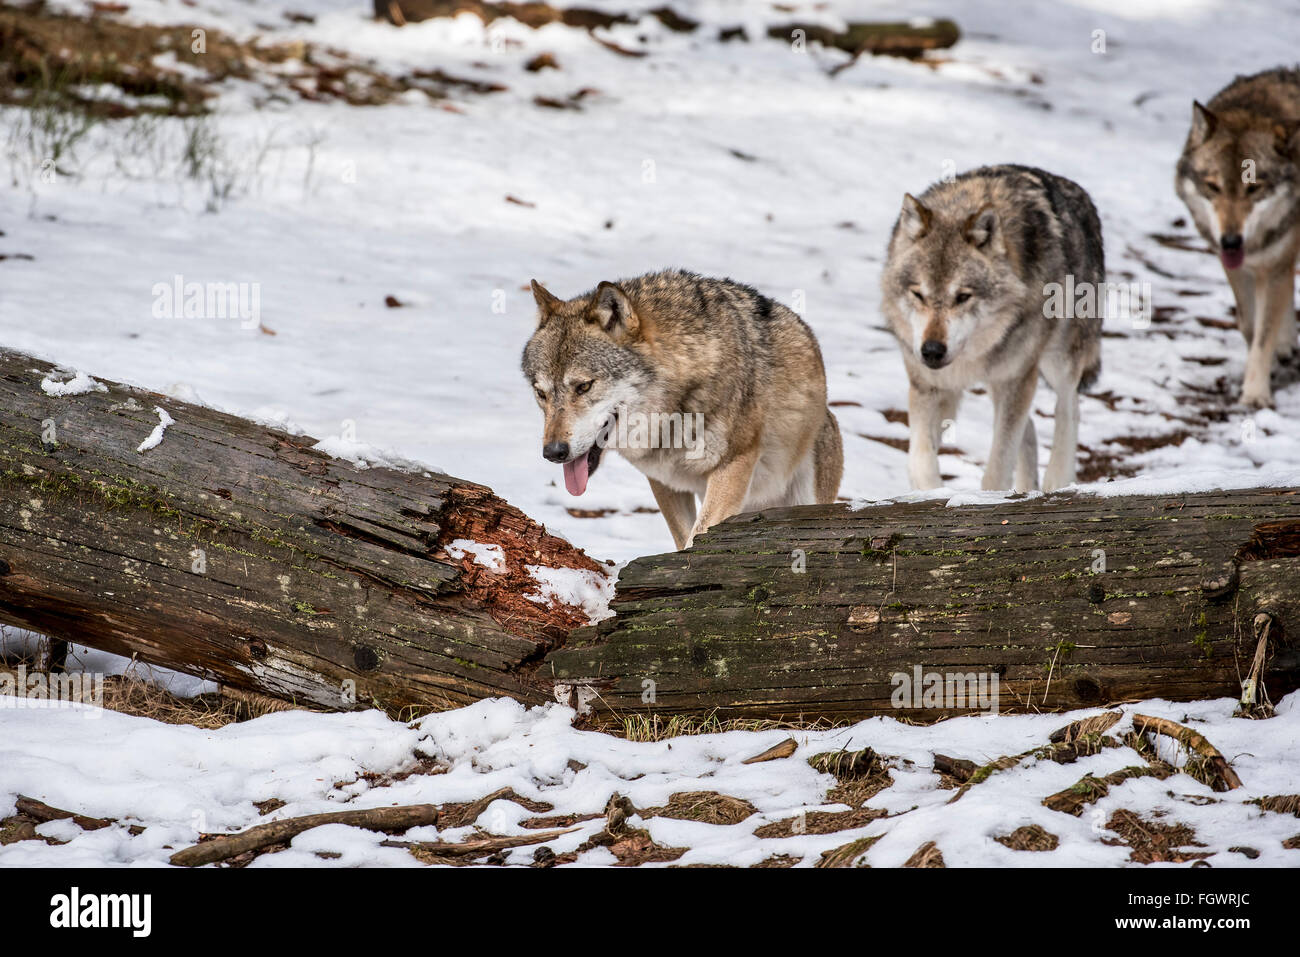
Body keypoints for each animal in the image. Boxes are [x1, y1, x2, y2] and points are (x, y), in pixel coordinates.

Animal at [521, 269, 843, 550]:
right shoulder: (665, 481)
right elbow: (683, 538)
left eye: (584, 386)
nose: (553, 452)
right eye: (541, 393)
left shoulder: (735, 463)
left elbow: (698, 536)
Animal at [881, 164, 1104, 493]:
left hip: (1056, 361)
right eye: (918, 294)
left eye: (963, 296)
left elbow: (997, 471)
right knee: (1031, 427)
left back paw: (1057, 481)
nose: (932, 351)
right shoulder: (929, 386)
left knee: (1069, 408)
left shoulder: (1015, 379)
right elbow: (921, 462)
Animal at [1175, 67, 1300, 409]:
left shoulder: (1275, 262)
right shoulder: (1238, 265)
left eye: (1253, 188)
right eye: (1213, 187)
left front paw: (1255, 394)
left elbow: (1263, 335)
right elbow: (1250, 326)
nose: (1231, 241)